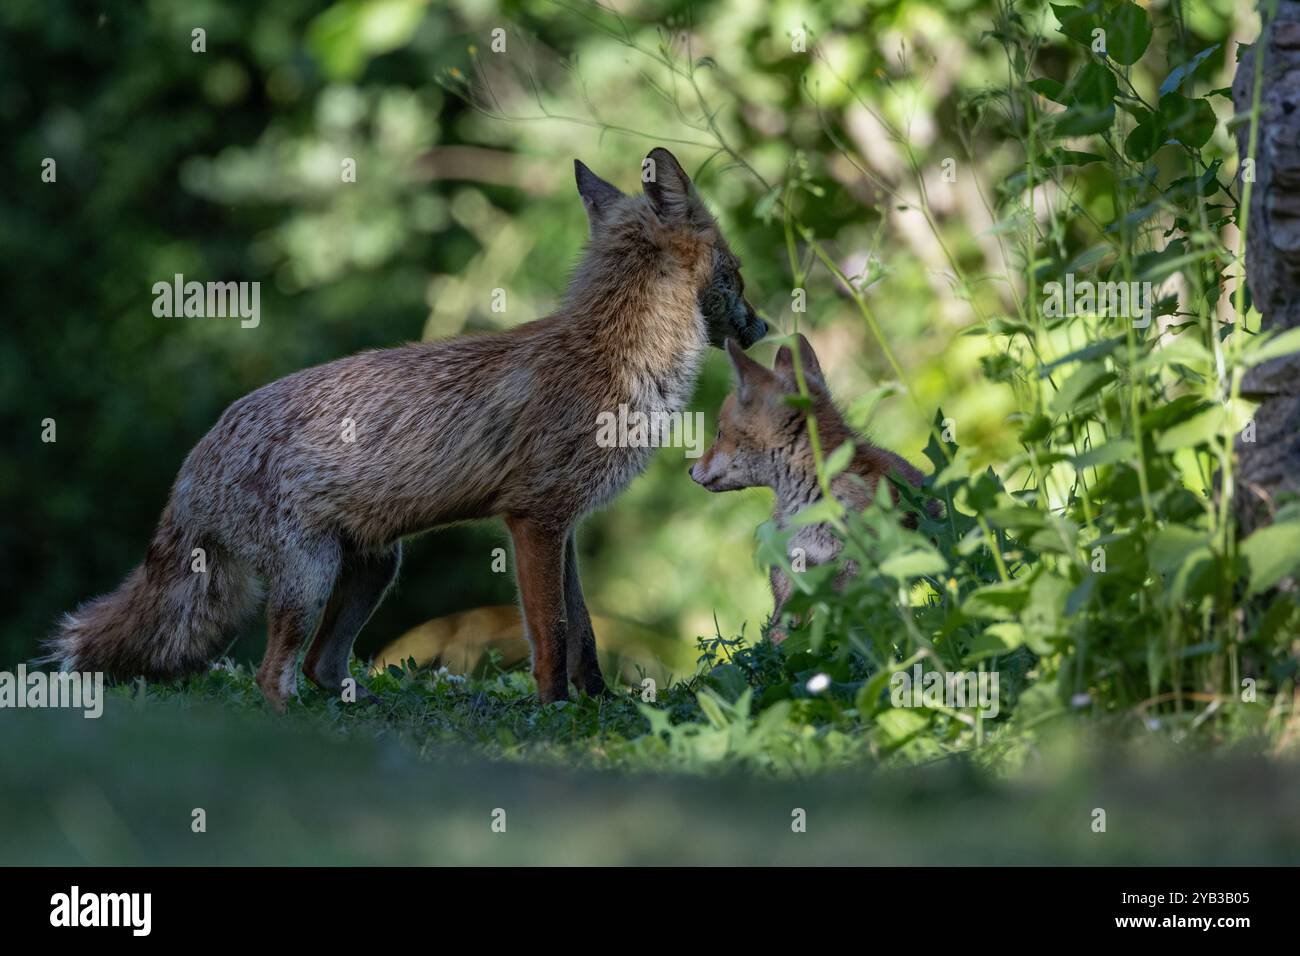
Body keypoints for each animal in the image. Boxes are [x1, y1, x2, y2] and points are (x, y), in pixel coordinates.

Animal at [47, 147, 766, 709]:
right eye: (736, 272)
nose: (762, 327)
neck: (611, 357)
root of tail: (196, 460)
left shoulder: (565, 525)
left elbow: (584, 631)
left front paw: (598, 704)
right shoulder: (534, 518)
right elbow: (552, 633)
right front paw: (554, 714)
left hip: (373, 570)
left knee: (320, 667)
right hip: (310, 579)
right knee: (271, 678)